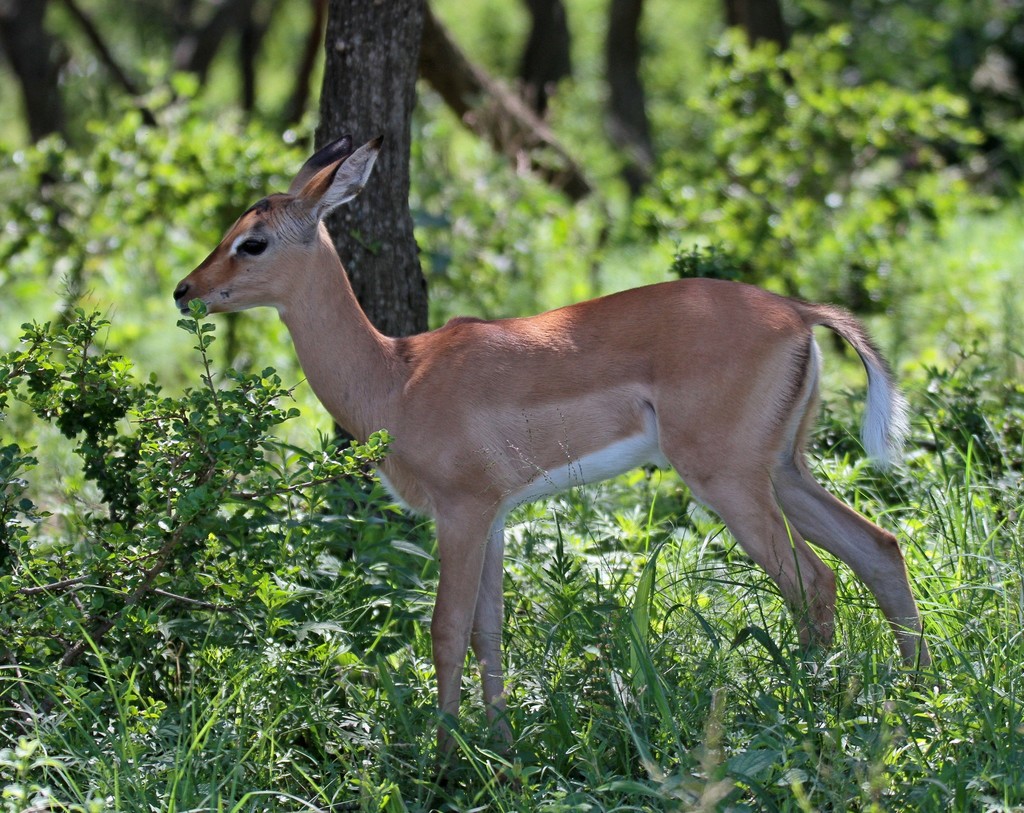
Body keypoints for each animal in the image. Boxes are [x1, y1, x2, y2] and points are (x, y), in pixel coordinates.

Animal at [173, 135, 930, 754]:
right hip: (783, 469)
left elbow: (445, 629)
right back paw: (916, 702)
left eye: (253, 241)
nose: (185, 290)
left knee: (815, 582)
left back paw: (817, 713)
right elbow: (488, 629)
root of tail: (799, 312)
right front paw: (503, 749)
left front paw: (445, 760)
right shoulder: (496, 516)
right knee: (880, 548)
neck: (396, 376)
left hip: (730, 479)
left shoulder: (461, 512)